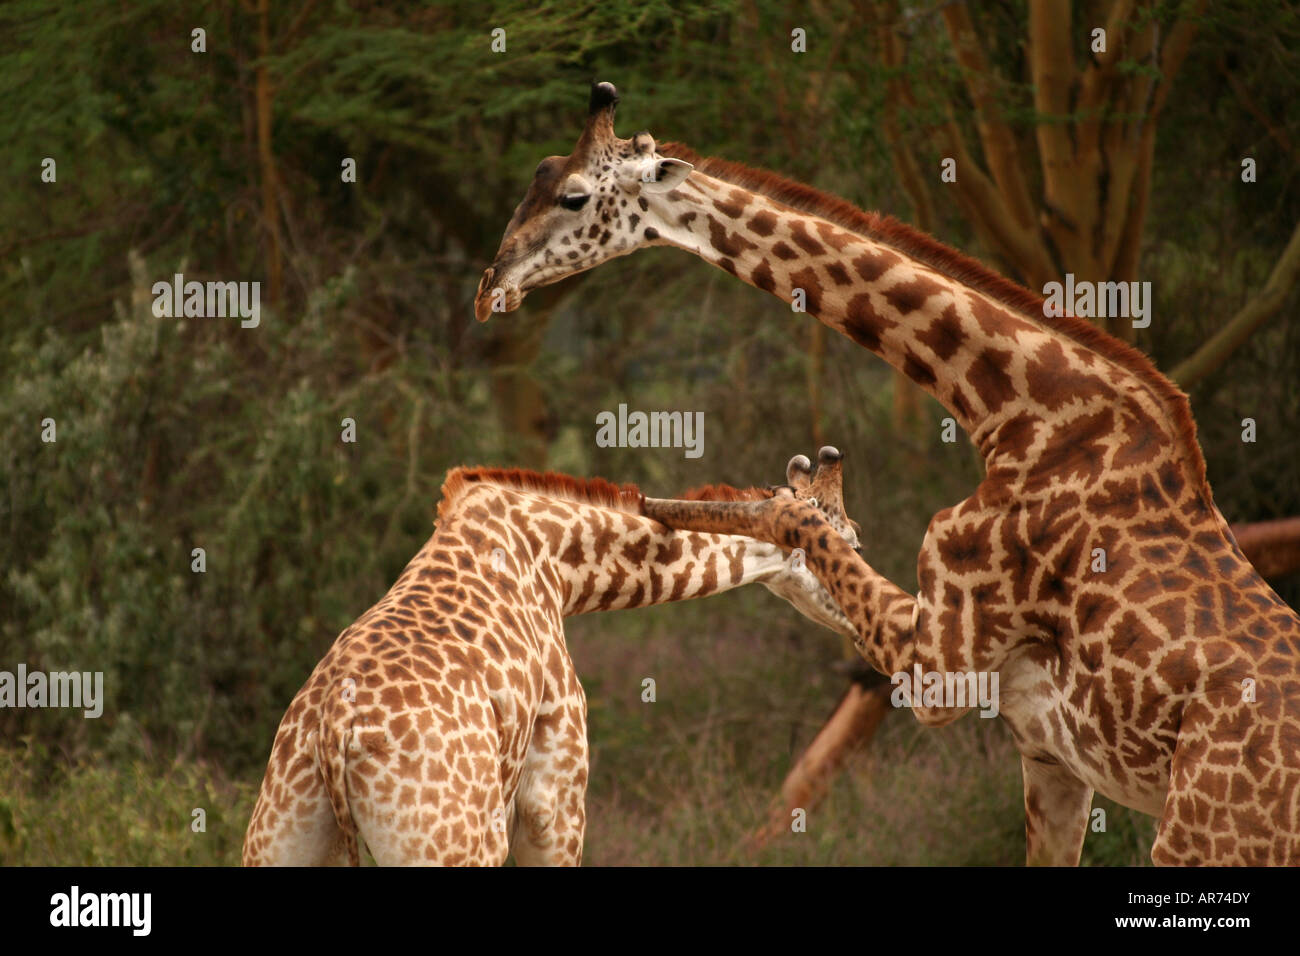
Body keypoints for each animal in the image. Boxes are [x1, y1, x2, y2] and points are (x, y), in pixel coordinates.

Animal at [242, 462, 858, 866]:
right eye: (849, 543)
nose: (861, 621)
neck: (559, 563)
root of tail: (333, 731)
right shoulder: (556, 788)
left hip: (278, 836)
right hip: (449, 847)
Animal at [473, 82, 1300, 865]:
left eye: (574, 196)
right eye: (536, 177)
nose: (490, 284)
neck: (1019, 410)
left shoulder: (939, 670)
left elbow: (800, 527)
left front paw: (728, 505)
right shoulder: (1046, 753)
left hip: (1200, 836)